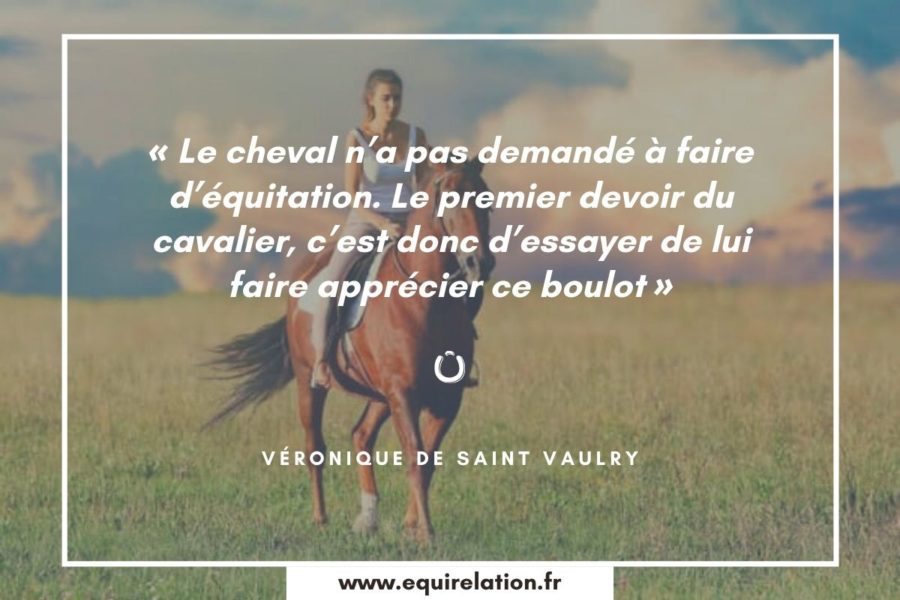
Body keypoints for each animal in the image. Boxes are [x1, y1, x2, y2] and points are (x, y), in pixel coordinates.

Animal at [205, 159, 494, 544]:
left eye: (487, 199)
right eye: (449, 197)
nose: (481, 263)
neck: (429, 299)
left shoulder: (446, 399)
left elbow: (428, 459)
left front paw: (412, 527)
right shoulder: (404, 393)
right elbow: (415, 456)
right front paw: (427, 532)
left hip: (379, 395)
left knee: (361, 435)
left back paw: (368, 519)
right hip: (309, 383)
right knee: (315, 447)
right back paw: (320, 518)